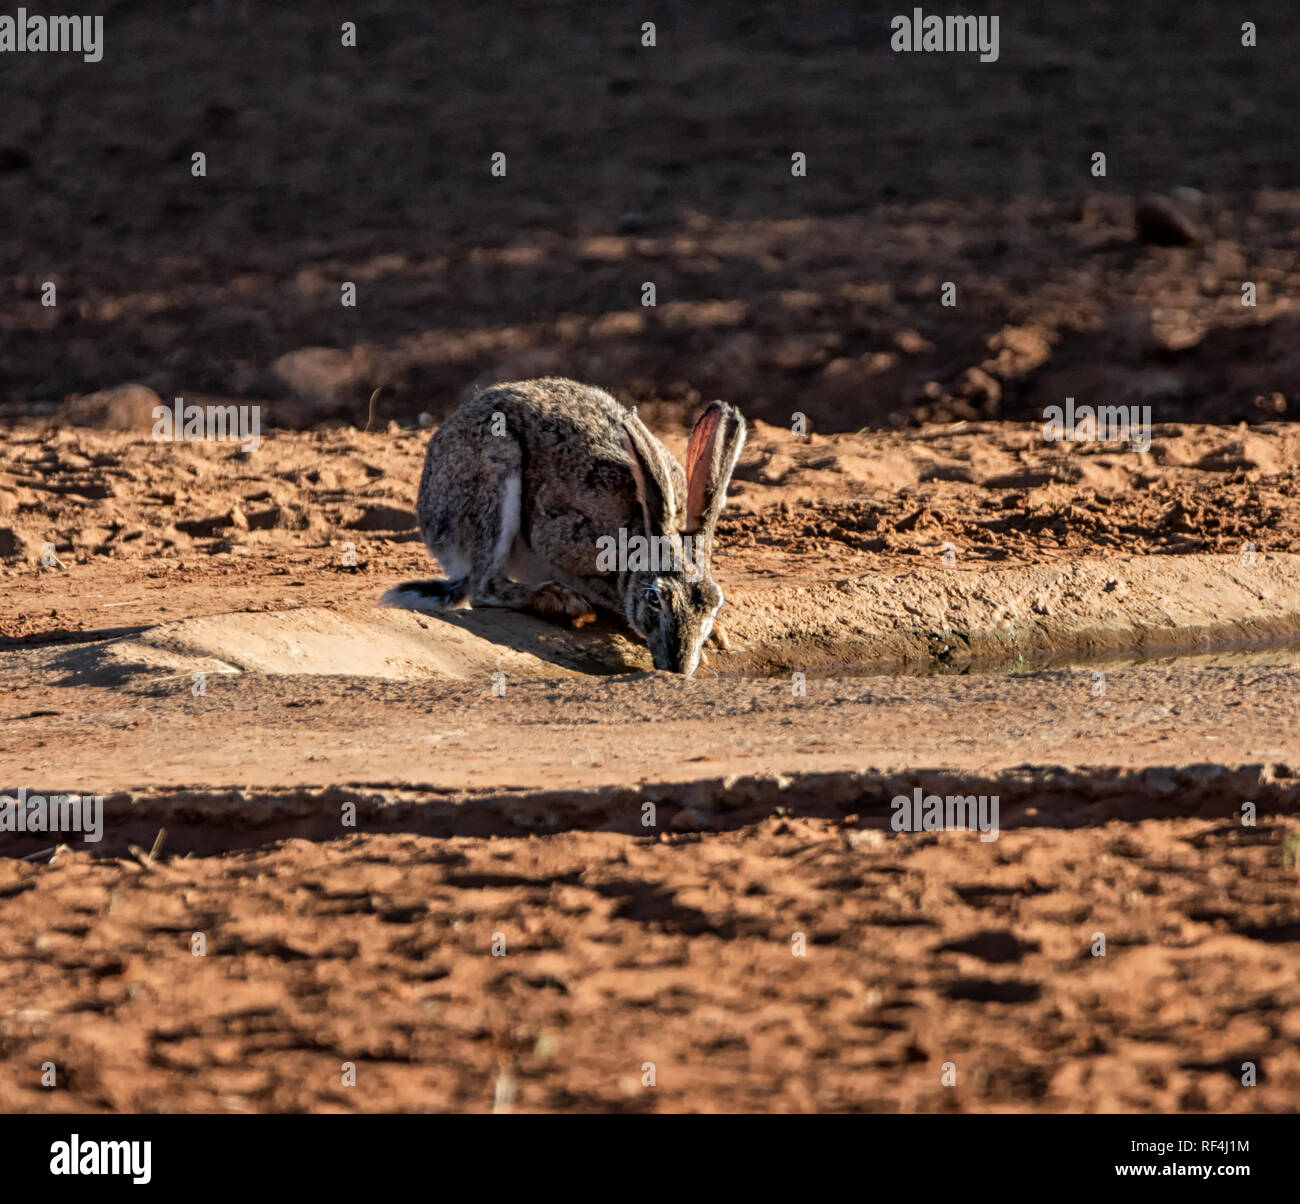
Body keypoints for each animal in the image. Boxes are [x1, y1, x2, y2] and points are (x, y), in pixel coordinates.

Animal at [380, 377, 746, 675]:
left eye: (715, 604)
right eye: (654, 598)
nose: (679, 667)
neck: (643, 528)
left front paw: (715, 637)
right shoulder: (560, 539)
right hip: (496, 464)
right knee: (485, 587)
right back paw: (556, 600)